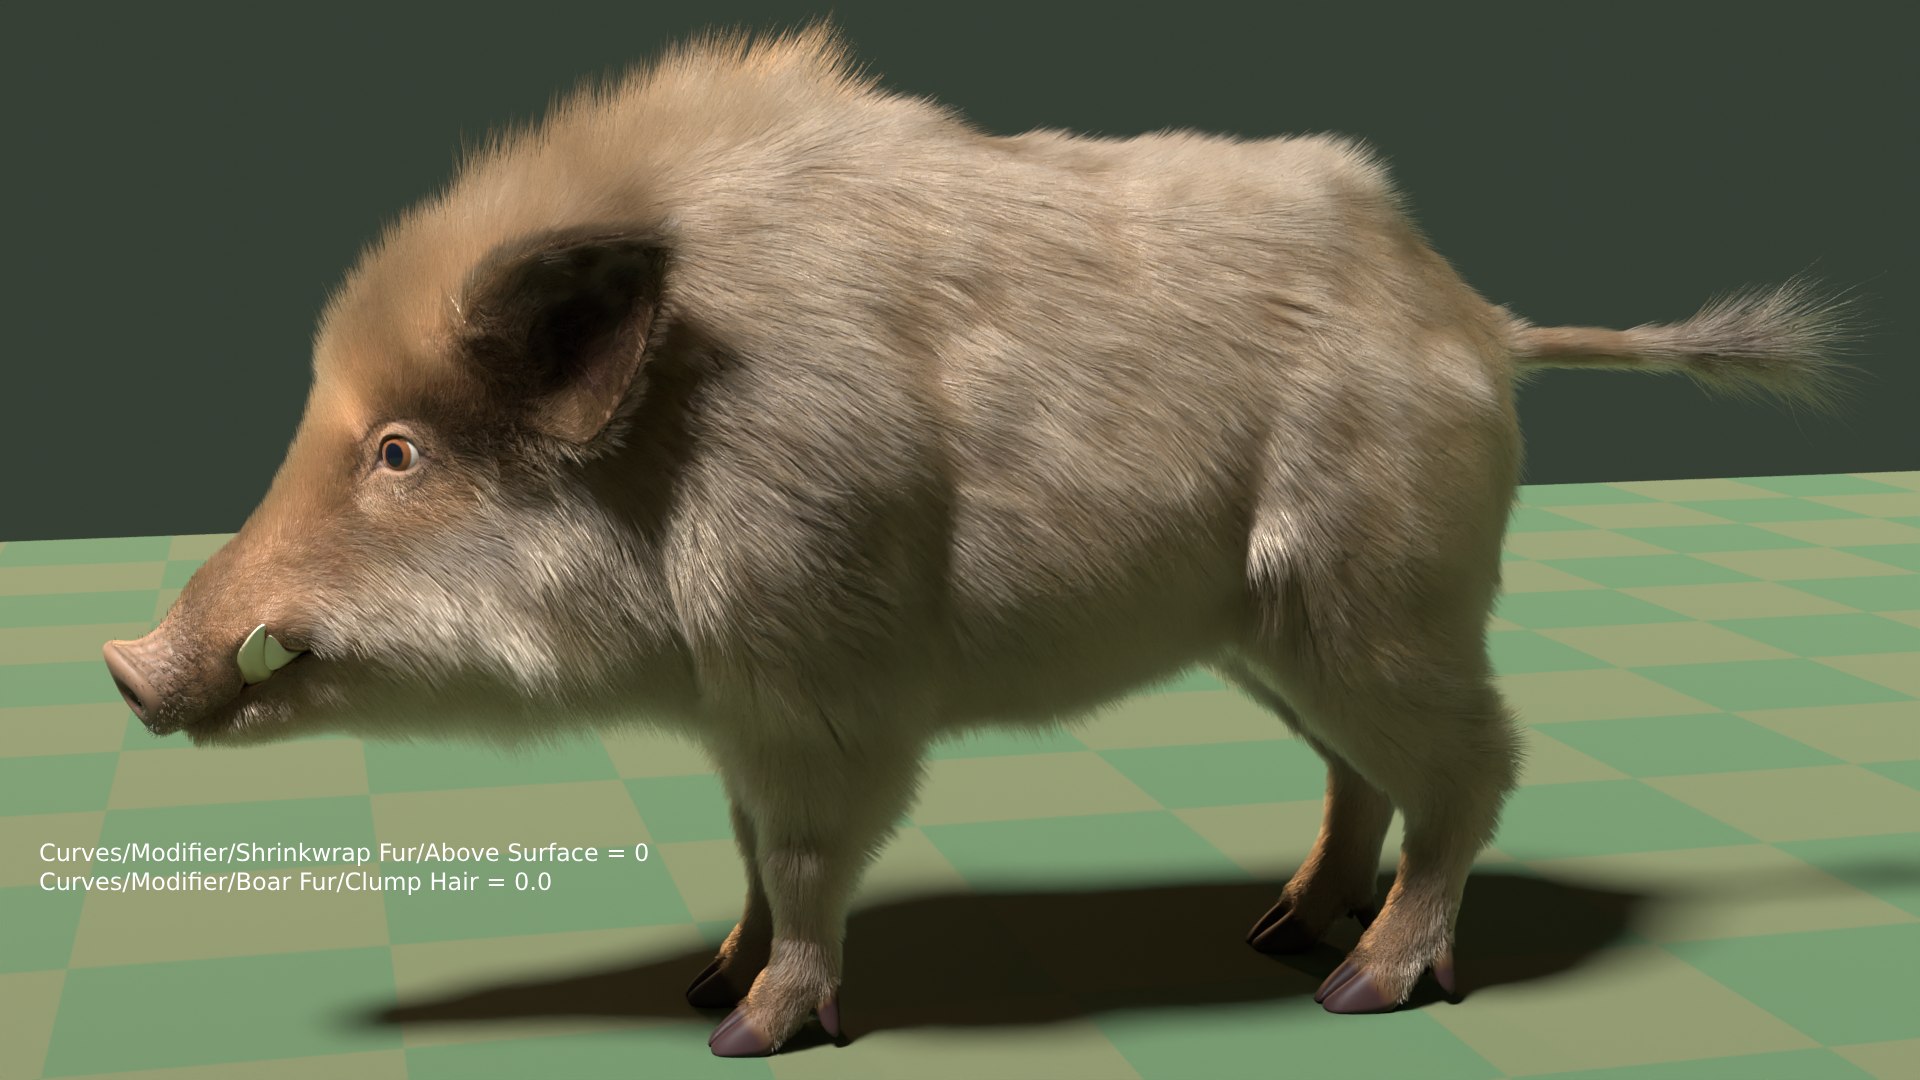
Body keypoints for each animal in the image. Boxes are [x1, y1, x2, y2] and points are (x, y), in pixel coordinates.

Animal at [101, 24, 1860, 1057]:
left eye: (399, 454)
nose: (119, 662)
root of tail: (1478, 321)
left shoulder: (829, 684)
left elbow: (810, 862)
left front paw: (746, 1035)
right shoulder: (744, 709)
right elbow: (745, 853)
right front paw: (701, 983)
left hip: (1386, 594)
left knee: (1476, 765)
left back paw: (1363, 985)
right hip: (1276, 637)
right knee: (1365, 777)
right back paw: (1280, 929)